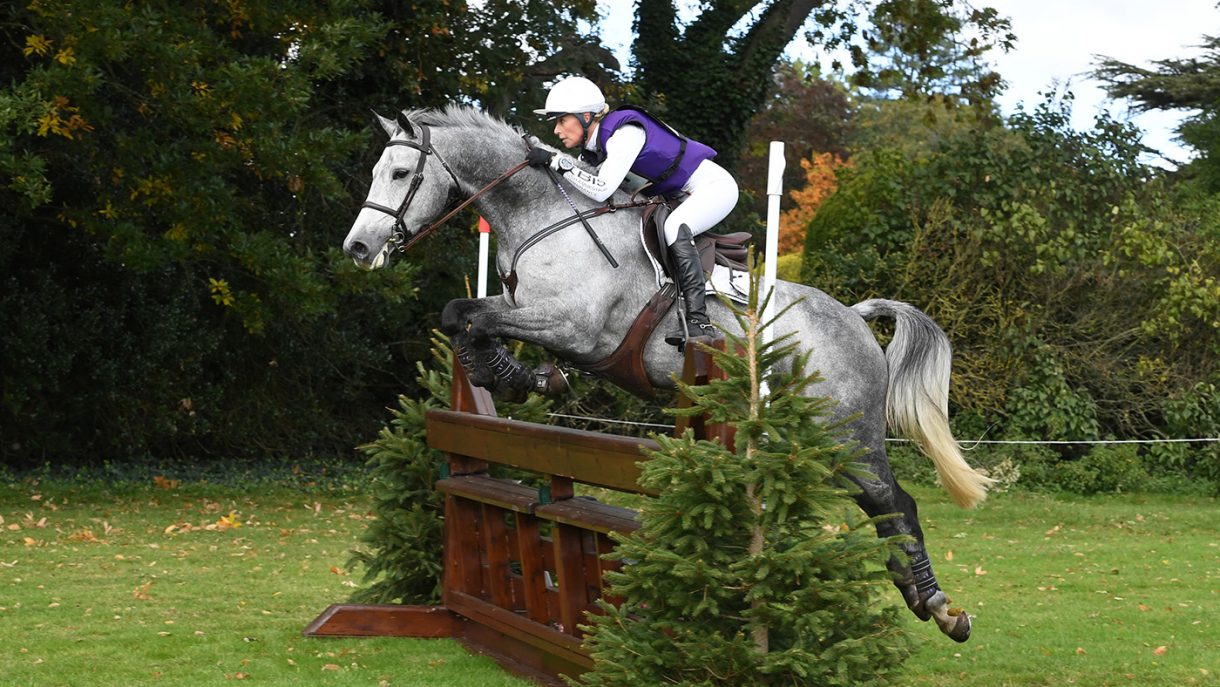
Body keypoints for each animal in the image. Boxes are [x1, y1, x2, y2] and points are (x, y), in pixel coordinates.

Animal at [342, 105, 993, 643]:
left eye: (399, 173)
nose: (357, 248)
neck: (542, 217)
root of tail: (856, 320)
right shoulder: (532, 315)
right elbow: (463, 316)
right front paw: (509, 375)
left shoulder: (573, 327)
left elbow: (471, 314)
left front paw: (516, 375)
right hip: (809, 438)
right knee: (880, 506)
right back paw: (913, 593)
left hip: (847, 433)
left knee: (895, 501)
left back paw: (942, 609)